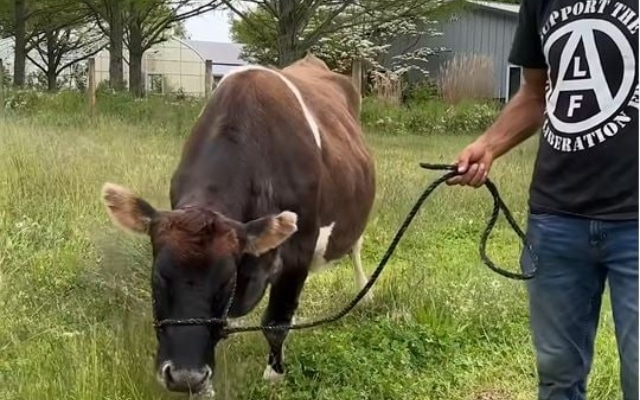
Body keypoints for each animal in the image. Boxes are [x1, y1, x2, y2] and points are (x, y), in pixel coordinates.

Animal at [100, 53, 376, 397]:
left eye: (226, 281)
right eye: (158, 277)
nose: (185, 376)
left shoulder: (299, 249)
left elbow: (276, 322)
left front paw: (274, 376)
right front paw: (204, 389)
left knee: (355, 248)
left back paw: (365, 293)